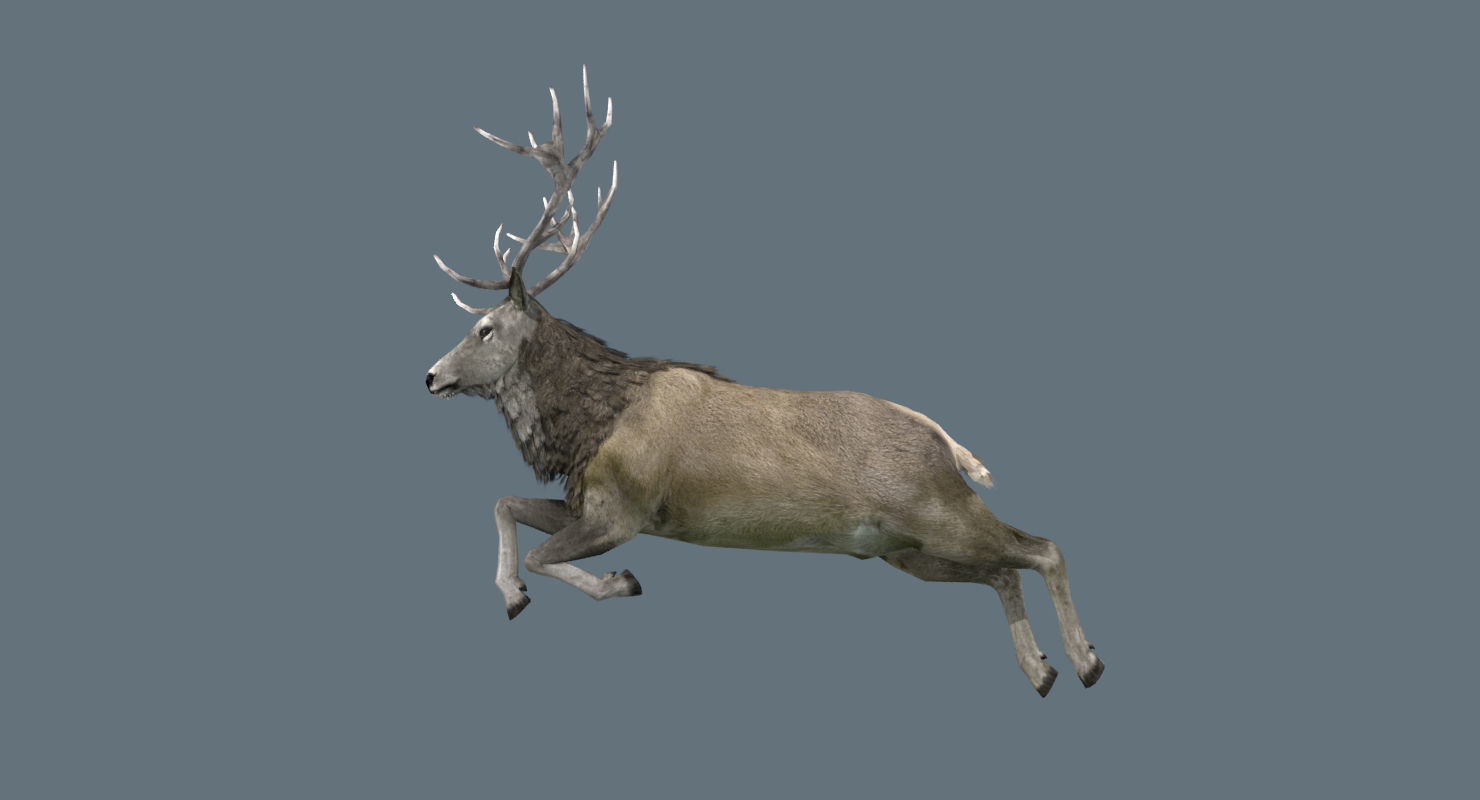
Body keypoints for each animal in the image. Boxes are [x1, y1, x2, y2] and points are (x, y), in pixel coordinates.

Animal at [424, 68, 1104, 696]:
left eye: (484, 328)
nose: (431, 376)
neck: (584, 434)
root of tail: (945, 443)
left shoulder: (625, 511)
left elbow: (540, 552)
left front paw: (620, 581)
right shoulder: (584, 503)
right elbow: (505, 503)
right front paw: (513, 595)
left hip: (939, 512)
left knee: (1044, 547)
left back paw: (1086, 662)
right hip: (907, 548)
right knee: (1004, 569)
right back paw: (1040, 669)